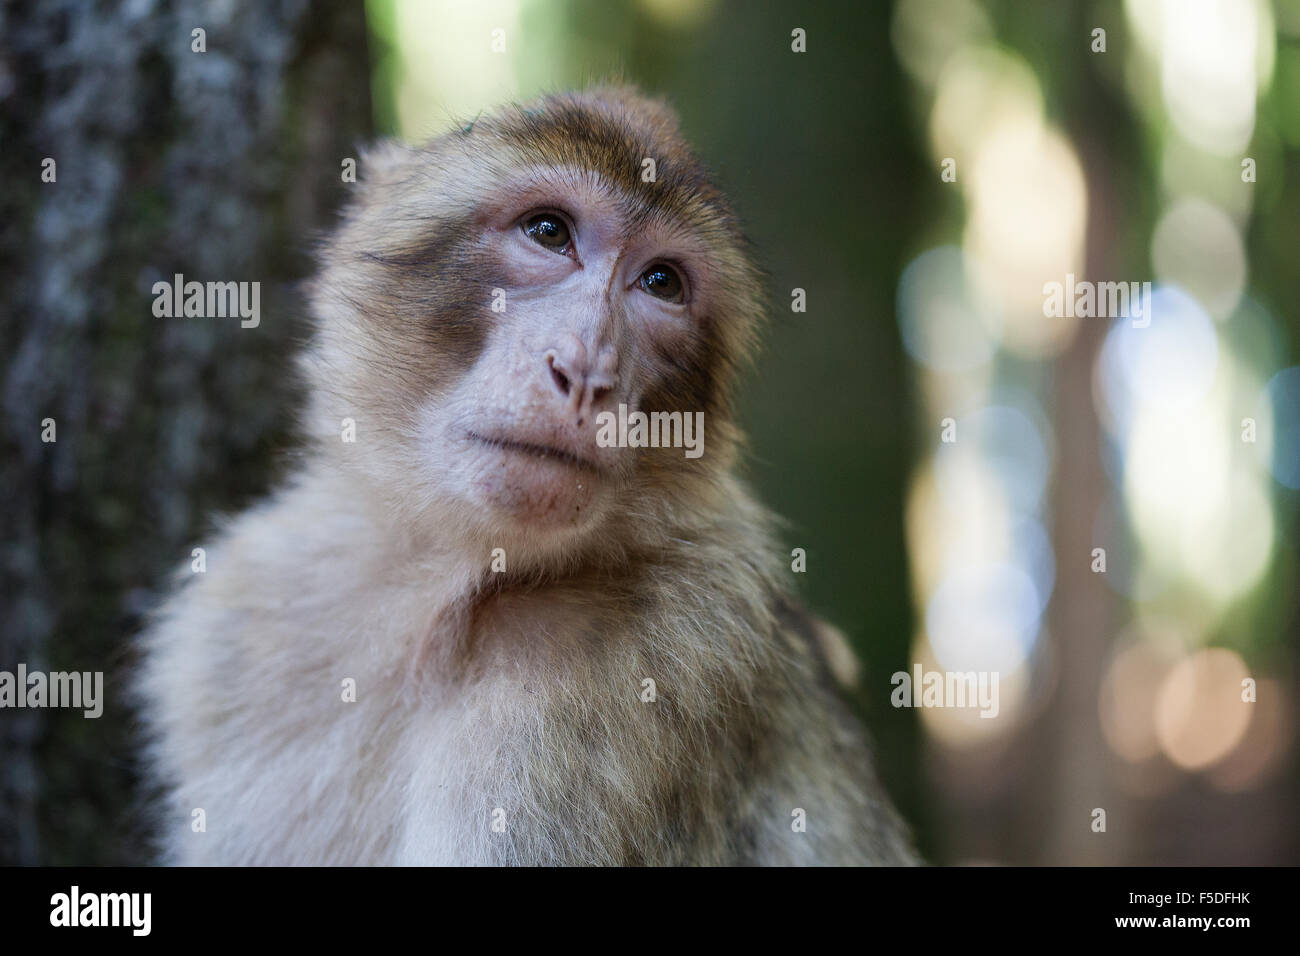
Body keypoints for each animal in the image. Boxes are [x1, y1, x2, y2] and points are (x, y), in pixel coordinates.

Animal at [136, 86, 918, 866]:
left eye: (661, 282)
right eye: (548, 232)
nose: (587, 373)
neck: (442, 581)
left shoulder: (630, 675)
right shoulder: (236, 621)